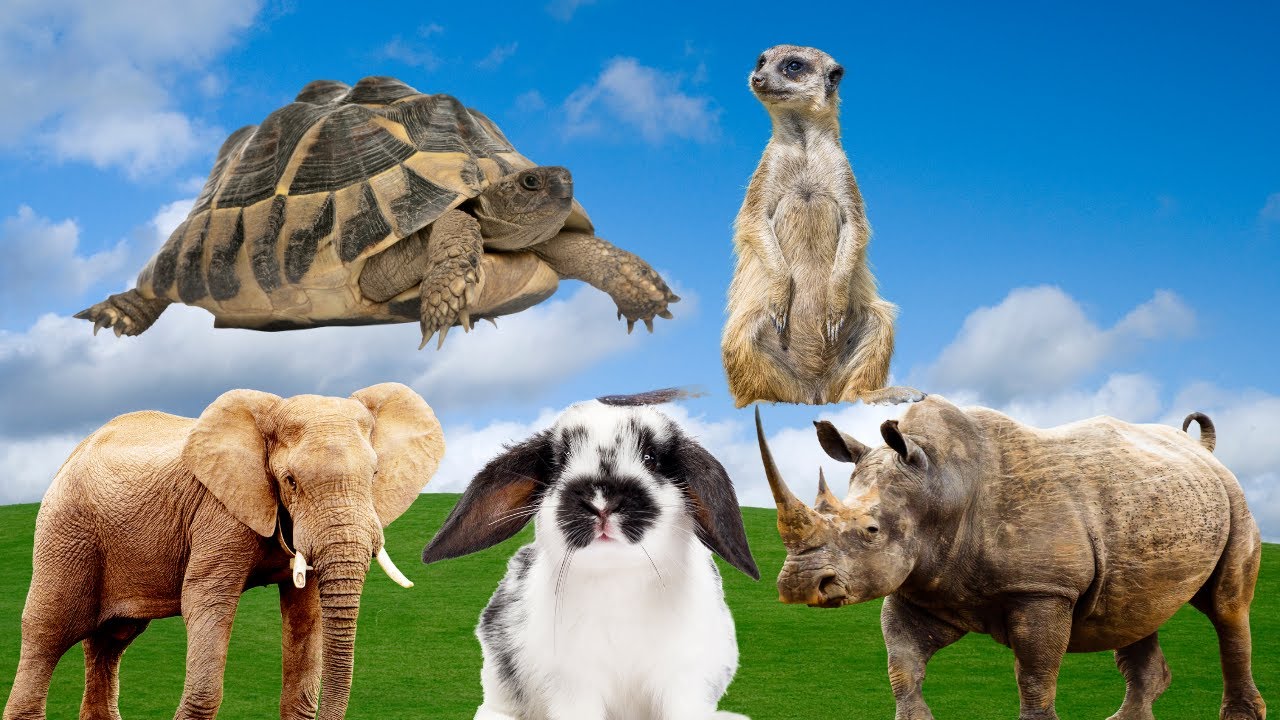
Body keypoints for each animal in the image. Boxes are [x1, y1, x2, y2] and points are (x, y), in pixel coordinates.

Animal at [3, 382, 444, 720]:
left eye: (374, 475)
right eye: (290, 480)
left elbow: (307, 613)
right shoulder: (219, 511)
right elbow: (205, 598)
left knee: (110, 641)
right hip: (65, 530)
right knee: (48, 631)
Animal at [423, 389, 759, 720]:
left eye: (651, 458)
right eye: (559, 461)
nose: (600, 501)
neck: (618, 580)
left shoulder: (685, 681)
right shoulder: (572, 686)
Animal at [754, 395, 1266, 720]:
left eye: (870, 531)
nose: (799, 585)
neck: (941, 486)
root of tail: (1201, 451)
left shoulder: (1043, 589)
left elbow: (1035, 675)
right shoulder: (921, 583)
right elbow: (903, 666)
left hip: (1234, 499)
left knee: (1226, 606)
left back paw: (1239, 713)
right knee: (1135, 610)